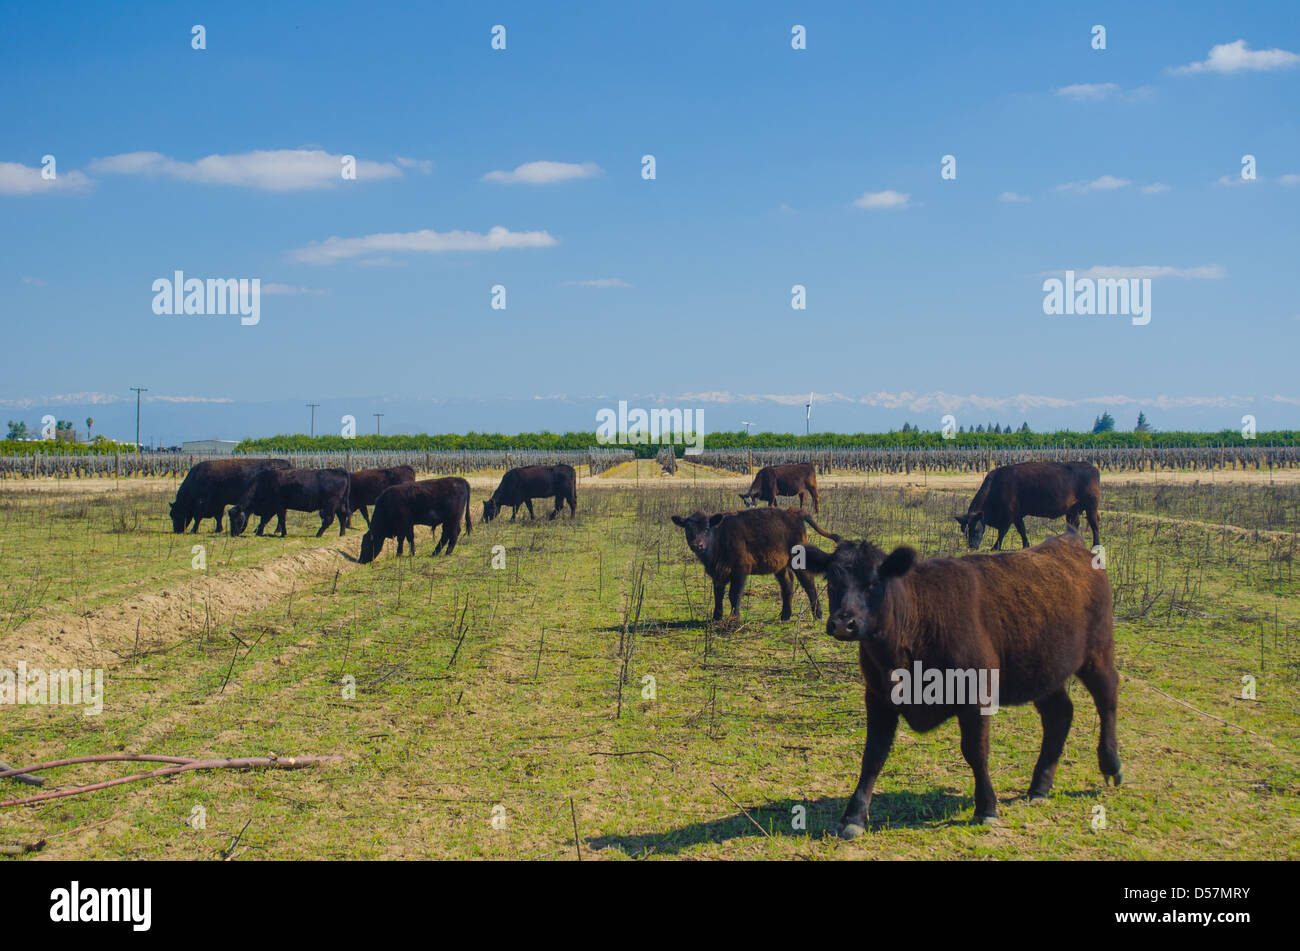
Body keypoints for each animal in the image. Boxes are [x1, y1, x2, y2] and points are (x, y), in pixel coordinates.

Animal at [671, 507, 841, 621]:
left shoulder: (740, 570)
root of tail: (793, 513)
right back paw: (785, 616)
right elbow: (718, 594)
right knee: (787, 585)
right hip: (780, 566)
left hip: (799, 561)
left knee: (809, 584)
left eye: (707, 528)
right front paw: (716, 618)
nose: (697, 545)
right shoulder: (717, 574)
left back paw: (817, 615)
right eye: (687, 529)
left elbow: (734, 594)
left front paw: (734, 618)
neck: (720, 536)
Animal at [806, 528, 1120, 837]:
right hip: (1042, 669)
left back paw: (1111, 765)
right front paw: (853, 816)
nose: (843, 623)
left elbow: (975, 751)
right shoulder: (878, 696)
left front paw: (986, 808)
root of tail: (1071, 540)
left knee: (1107, 699)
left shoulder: (975, 695)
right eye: (831, 581)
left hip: (1097, 652)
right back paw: (1039, 787)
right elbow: (873, 755)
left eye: (873, 582)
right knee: (1059, 714)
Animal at [955, 461, 1101, 550]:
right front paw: (1026, 545)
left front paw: (995, 547)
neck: (997, 485)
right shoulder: (1017, 516)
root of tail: (1091, 467)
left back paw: (1096, 545)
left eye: (974, 529)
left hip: (1091, 506)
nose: (972, 546)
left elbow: (1003, 532)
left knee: (1094, 525)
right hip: (1073, 510)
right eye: (965, 531)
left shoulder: (1010, 515)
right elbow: (1022, 530)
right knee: (1074, 525)